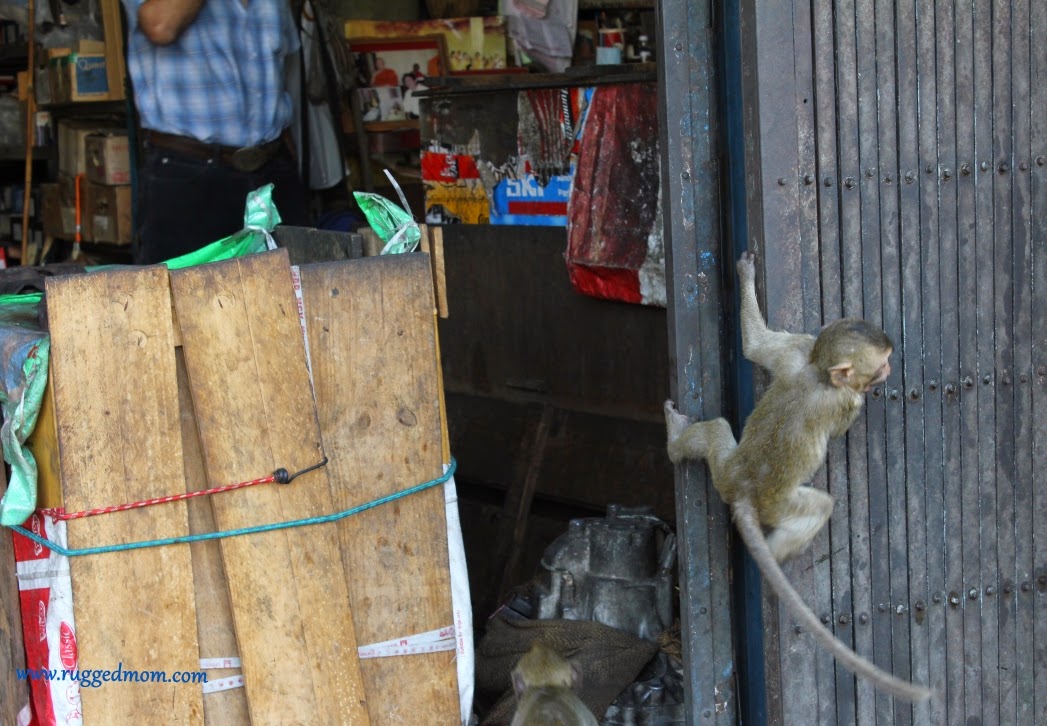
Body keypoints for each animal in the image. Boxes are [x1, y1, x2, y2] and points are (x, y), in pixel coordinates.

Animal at [664, 251, 933, 703]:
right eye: (879, 366)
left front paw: (745, 274)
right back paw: (775, 554)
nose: (889, 370)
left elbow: (756, 345)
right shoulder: (846, 400)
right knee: (818, 506)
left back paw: (675, 440)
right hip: (777, 503)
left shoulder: (798, 349)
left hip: (726, 466)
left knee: (716, 430)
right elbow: (842, 420)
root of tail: (744, 489)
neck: (820, 372)